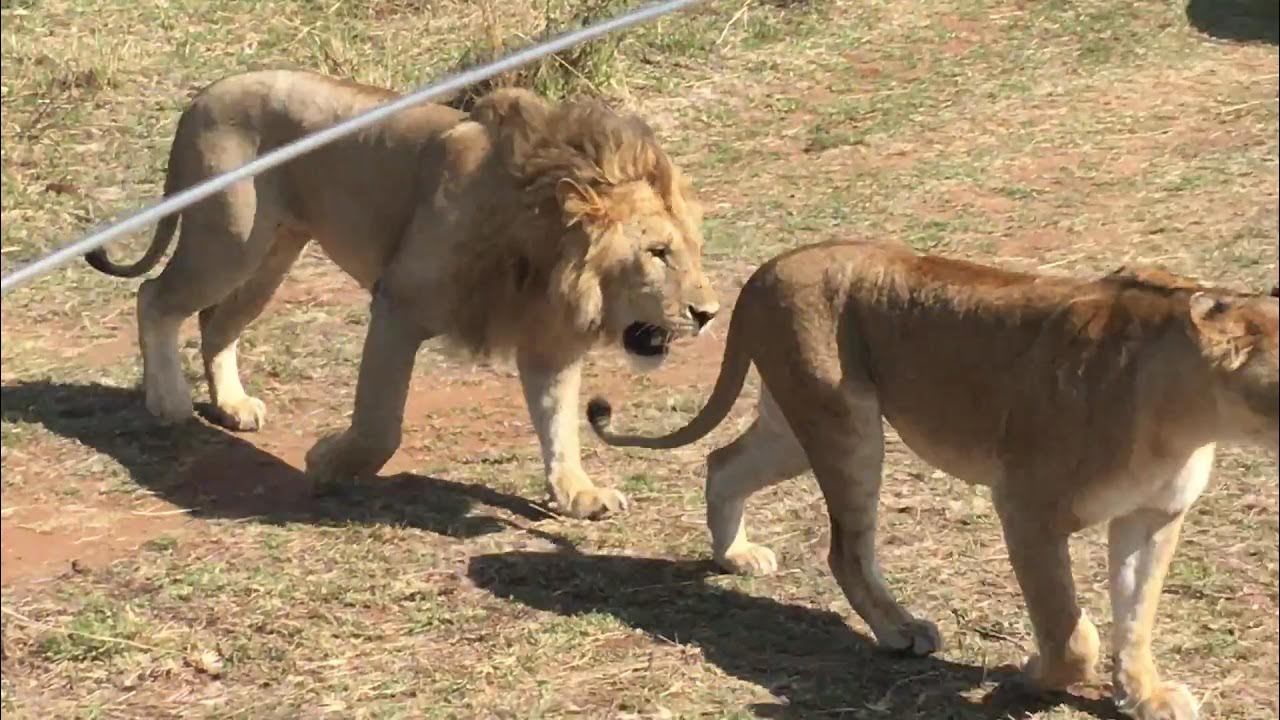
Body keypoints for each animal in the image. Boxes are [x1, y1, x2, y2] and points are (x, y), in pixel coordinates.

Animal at [85, 69, 718, 520]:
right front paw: (328, 462)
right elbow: (380, 423)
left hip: (271, 257)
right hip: (229, 238)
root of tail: (204, 96)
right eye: (657, 252)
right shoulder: (397, 305)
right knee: (154, 297)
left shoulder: (549, 342)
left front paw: (578, 494)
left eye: (693, 249)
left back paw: (233, 405)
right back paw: (168, 401)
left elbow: (559, 423)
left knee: (216, 323)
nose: (709, 314)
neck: (541, 249)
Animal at [586, 240, 1279, 719]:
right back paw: (900, 631)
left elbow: (1136, 616)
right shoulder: (1024, 506)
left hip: (792, 425)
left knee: (723, 463)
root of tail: (772, 266)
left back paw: (734, 555)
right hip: (845, 423)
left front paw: (1143, 695)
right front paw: (1036, 672)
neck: (1190, 411)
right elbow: (1071, 629)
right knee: (844, 550)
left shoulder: (1153, 517)